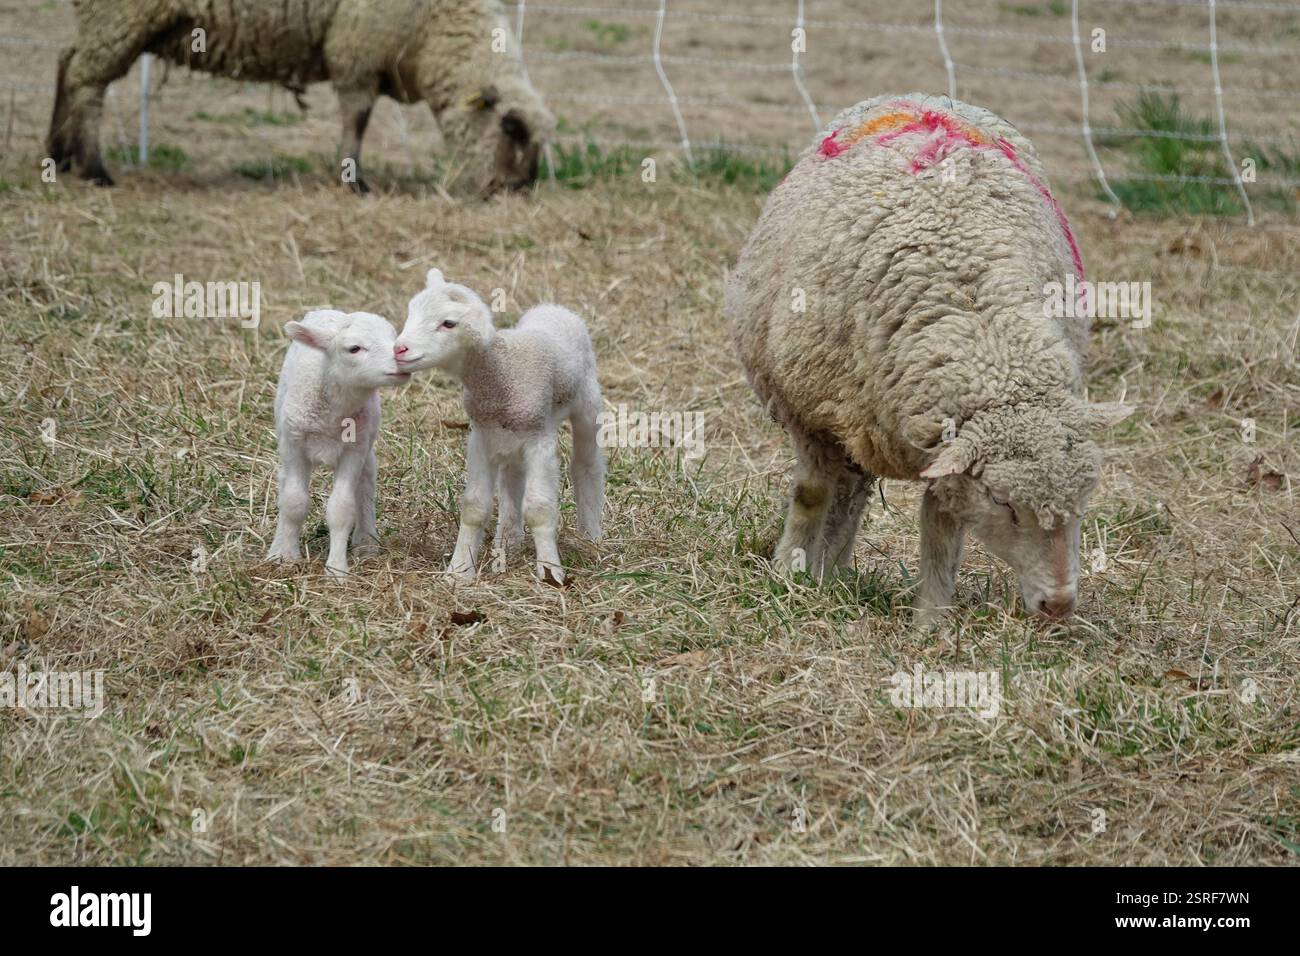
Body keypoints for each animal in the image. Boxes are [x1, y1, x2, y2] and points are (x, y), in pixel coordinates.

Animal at [48, 0, 553, 195]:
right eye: (510, 128)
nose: (517, 190)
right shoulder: (356, 50)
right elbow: (358, 119)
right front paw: (354, 181)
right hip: (119, 16)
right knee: (87, 82)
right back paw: (94, 169)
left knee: (68, 63)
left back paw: (59, 154)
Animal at [266, 310, 412, 577]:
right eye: (354, 348)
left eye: (393, 339)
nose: (401, 359)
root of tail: (327, 311)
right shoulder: (294, 445)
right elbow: (293, 502)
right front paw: (287, 556)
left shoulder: (355, 449)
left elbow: (341, 508)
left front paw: (336, 569)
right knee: (284, 484)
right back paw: (278, 544)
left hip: (367, 445)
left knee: (365, 483)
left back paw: (366, 542)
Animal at [393, 270, 604, 584]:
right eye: (411, 312)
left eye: (448, 323)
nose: (399, 349)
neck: (501, 369)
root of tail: (552, 307)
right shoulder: (481, 435)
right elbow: (474, 507)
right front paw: (459, 571)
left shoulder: (539, 437)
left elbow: (539, 509)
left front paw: (550, 572)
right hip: (511, 433)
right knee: (512, 476)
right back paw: (507, 542)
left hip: (587, 403)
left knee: (586, 463)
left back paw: (590, 535)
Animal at [726, 93, 1134, 623]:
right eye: (1002, 500)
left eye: (1085, 498)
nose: (1058, 605)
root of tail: (923, 98)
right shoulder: (809, 415)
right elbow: (811, 494)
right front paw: (783, 577)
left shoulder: (946, 453)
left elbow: (940, 528)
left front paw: (931, 621)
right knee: (843, 489)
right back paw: (817, 572)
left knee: (853, 492)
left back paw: (831, 571)